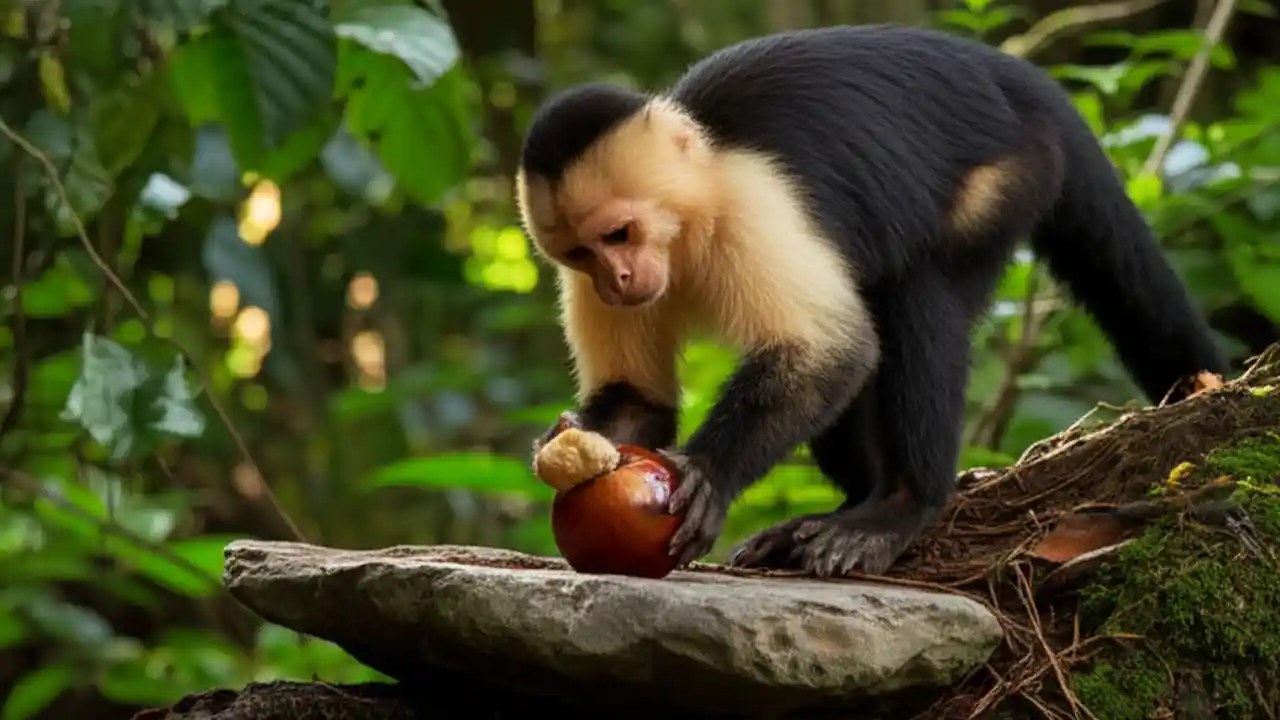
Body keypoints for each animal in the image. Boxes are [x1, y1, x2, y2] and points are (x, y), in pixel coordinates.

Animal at [513, 24, 1227, 577]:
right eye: (582, 253)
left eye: (619, 234)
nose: (616, 280)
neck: (692, 217)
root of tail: (1014, 73)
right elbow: (640, 401)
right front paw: (575, 445)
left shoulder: (751, 206)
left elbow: (829, 350)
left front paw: (710, 471)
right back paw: (844, 508)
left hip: (1011, 169)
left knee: (915, 297)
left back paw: (899, 508)